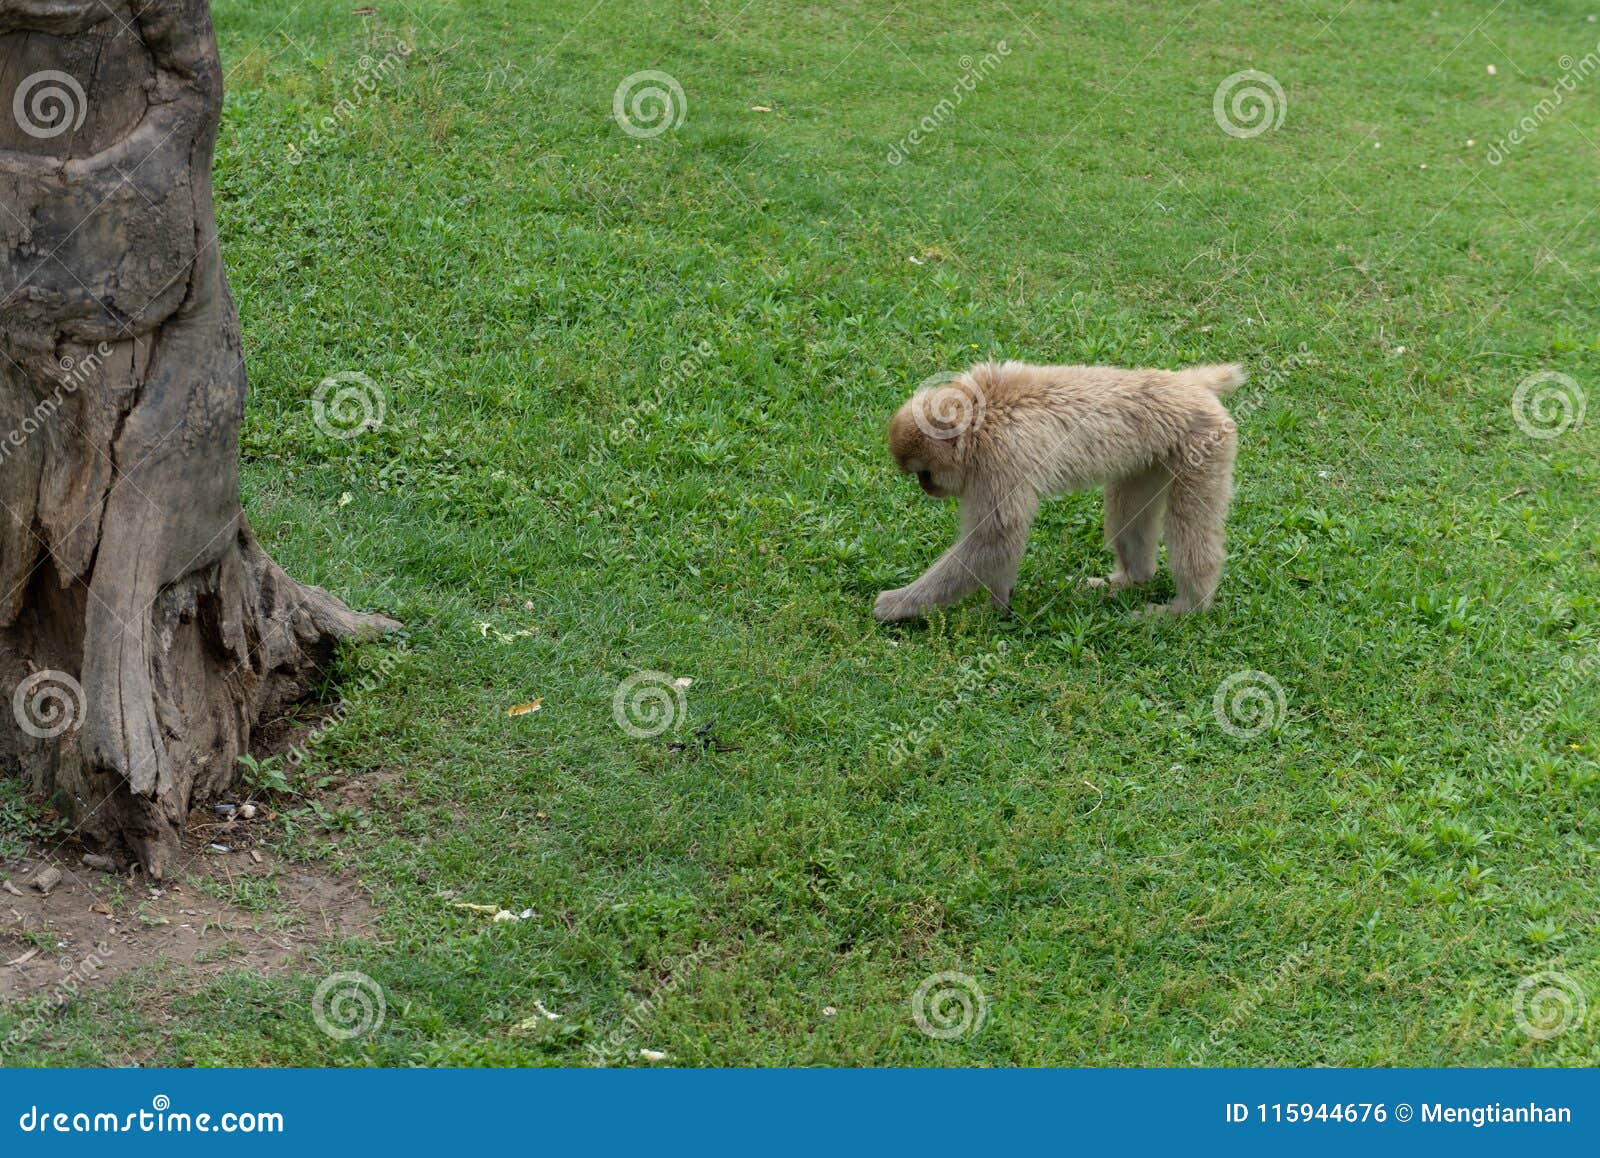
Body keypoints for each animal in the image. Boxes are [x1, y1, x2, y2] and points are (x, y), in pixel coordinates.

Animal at [874, 359, 1244, 621]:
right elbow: (999, 543)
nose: (925, 488)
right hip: (1151, 456)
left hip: (1205, 441)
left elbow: (995, 537)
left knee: (1190, 525)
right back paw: (1132, 578)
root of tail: (1190, 384)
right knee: (1129, 508)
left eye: (925, 473)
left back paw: (1188, 607)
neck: (980, 417)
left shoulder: (999, 461)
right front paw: (999, 604)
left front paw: (900, 604)